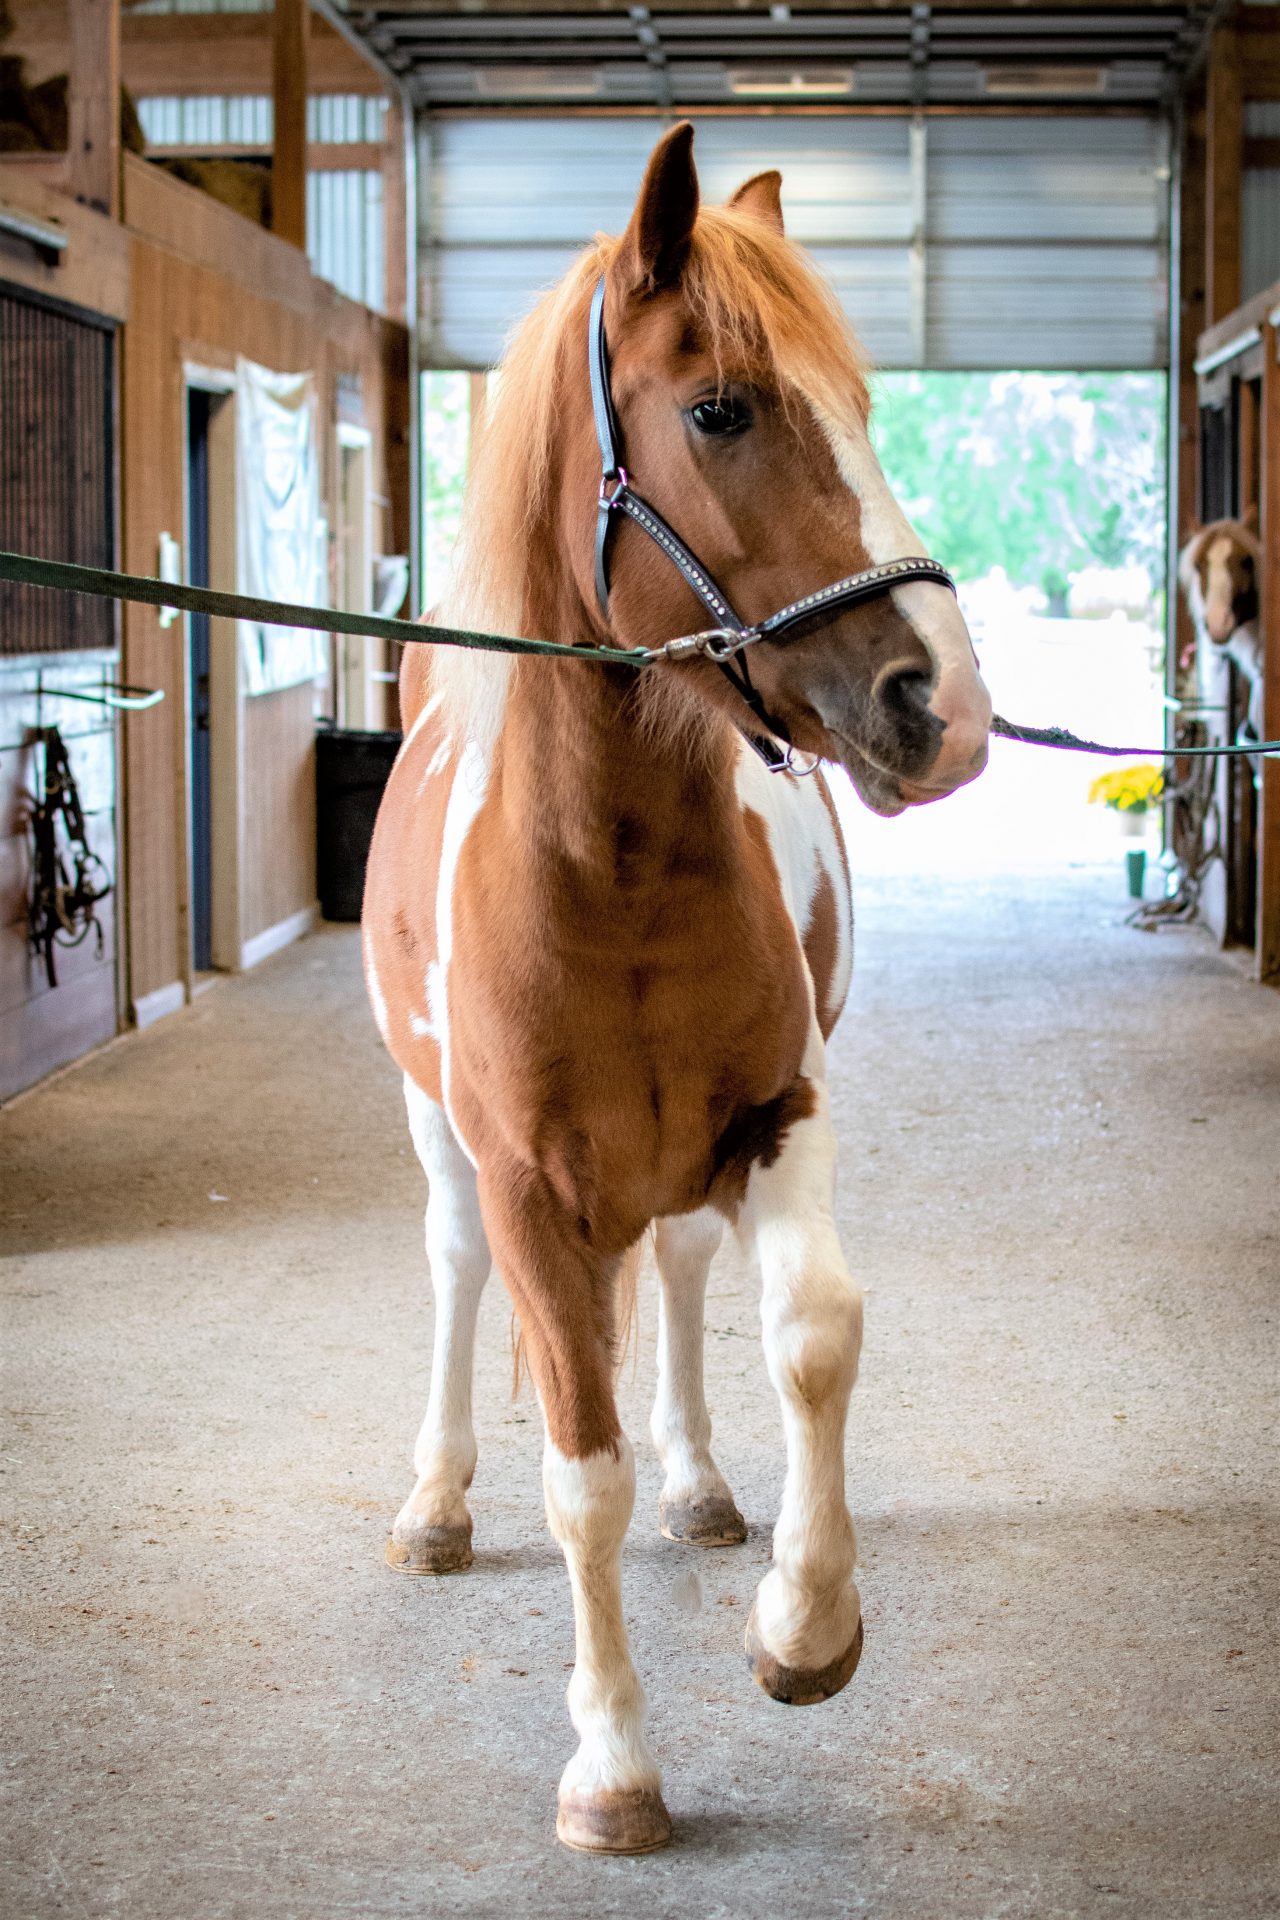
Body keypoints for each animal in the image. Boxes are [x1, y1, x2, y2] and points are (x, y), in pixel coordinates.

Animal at [362, 121, 991, 1855]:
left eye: (866, 403)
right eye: (720, 407)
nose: (946, 705)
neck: (613, 872)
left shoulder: (779, 1114)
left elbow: (817, 1331)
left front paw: (805, 1630)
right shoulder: (528, 1192)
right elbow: (580, 1476)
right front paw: (614, 1769)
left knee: (697, 1281)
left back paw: (708, 1488)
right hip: (439, 1144)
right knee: (448, 1274)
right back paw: (435, 1503)